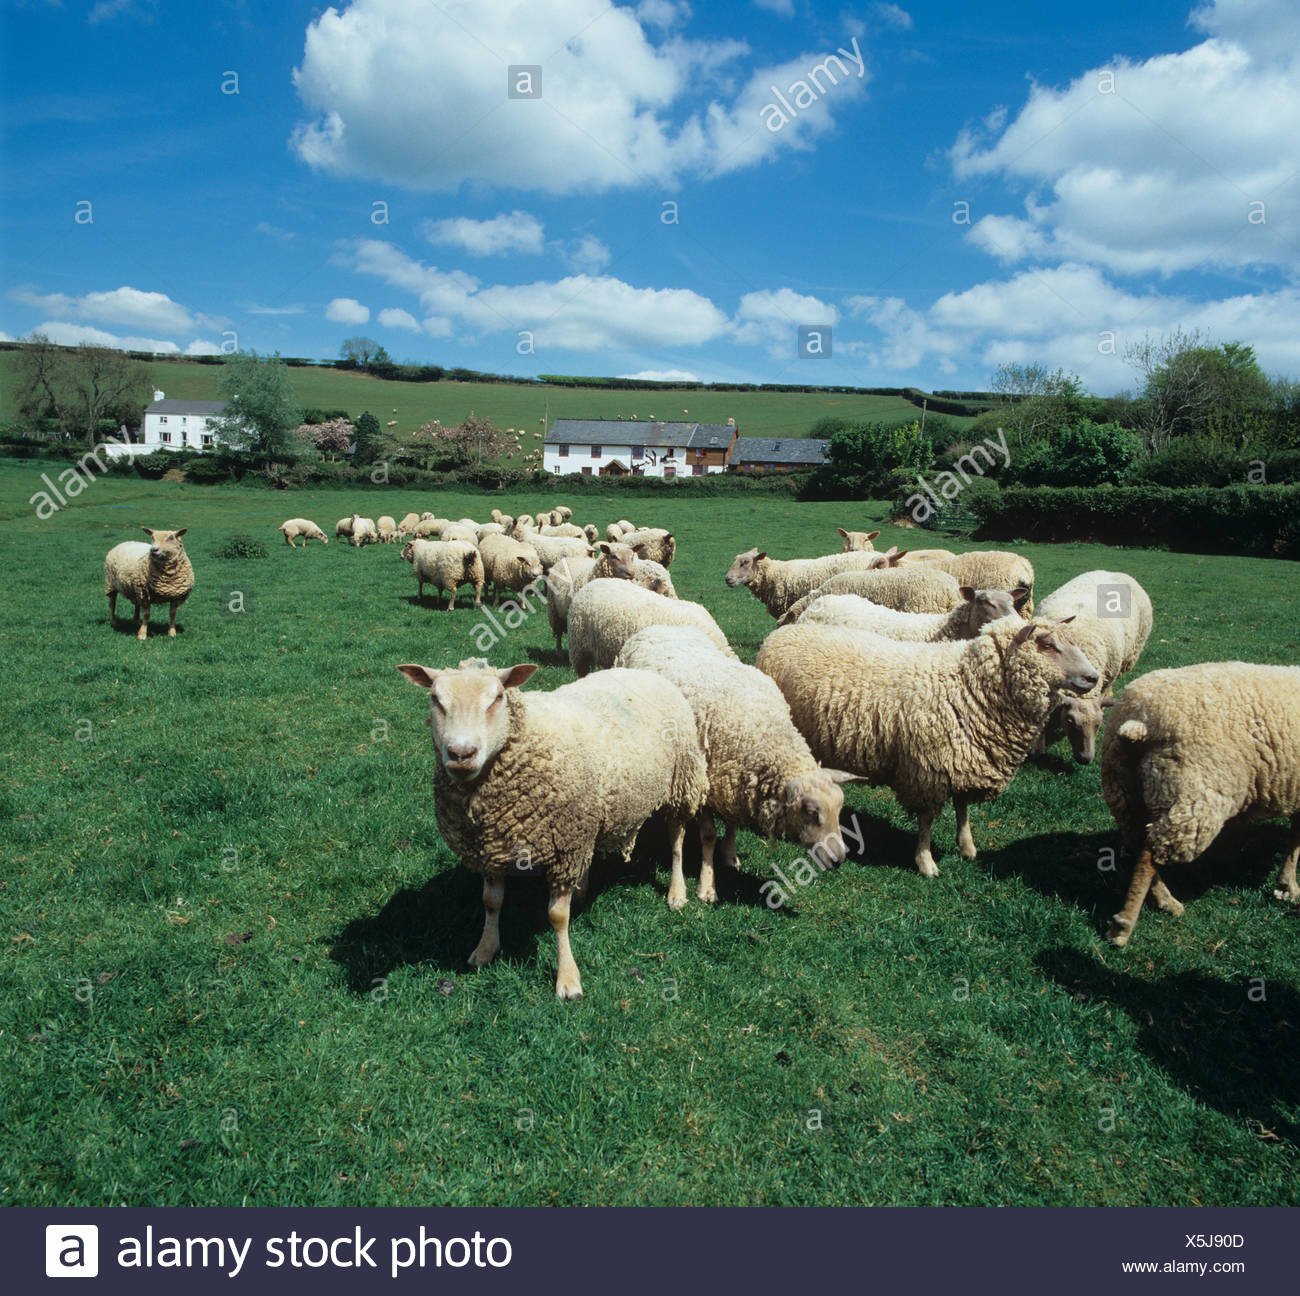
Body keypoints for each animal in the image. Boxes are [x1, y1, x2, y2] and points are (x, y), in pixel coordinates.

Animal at [396, 657, 707, 999]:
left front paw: (567, 978)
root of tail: (641, 672)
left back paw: (676, 892)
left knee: (676, 840)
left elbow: (557, 917)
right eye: (435, 699)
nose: (461, 754)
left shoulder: (562, 851)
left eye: (497, 697)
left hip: (681, 781)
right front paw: (485, 949)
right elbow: (491, 902)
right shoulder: (492, 848)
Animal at [613, 626, 863, 908]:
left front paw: (729, 856)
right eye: (810, 811)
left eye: (840, 808)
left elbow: (731, 823)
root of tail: (658, 627)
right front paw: (706, 887)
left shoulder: (734, 782)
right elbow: (707, 836)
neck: (762, 732)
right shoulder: (707, 786)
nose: (839, 859)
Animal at [756, 618, 1098, 876]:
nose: (1093, 677)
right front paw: (926, 862)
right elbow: (926, 822)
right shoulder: (926, 770)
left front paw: (967, 846)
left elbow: (962, 808)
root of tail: (780, 633)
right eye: (1048, 645)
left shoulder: (964, 761)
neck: (970, 685)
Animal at [1100, 662, 1300, 948]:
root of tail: (1139, 719)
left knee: (1139, 844)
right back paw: (1124, 925)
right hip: (1192, 796)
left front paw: (1286, 884)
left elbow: (1295, 836)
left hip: (1123, 791)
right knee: (1151, 855)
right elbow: (1296, 839)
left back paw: (1165, 902)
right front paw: (1289, 885)